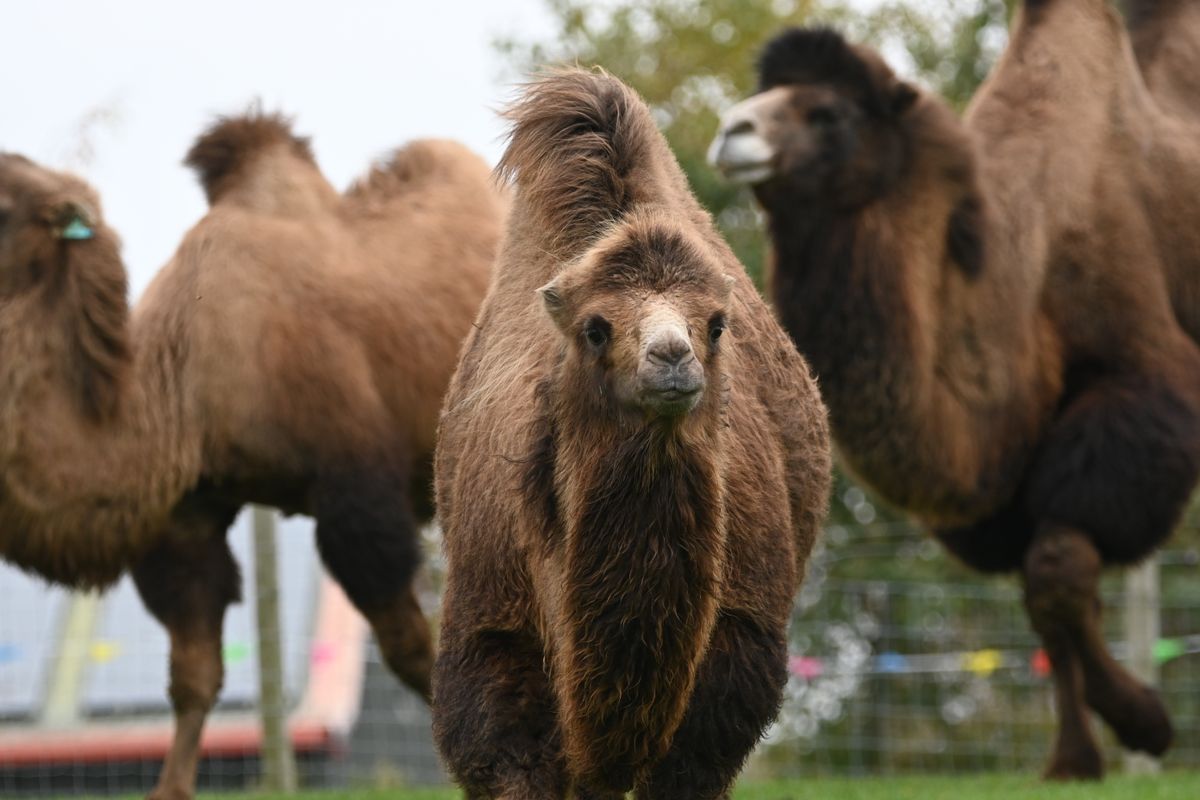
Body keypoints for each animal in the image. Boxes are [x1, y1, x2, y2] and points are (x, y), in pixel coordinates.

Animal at [0, 114, 506, 799]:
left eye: (2, 206)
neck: (177, 387)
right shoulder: (188, 515)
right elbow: (193, 676)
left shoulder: (354, 485)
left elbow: (411, 652)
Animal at [432, 69, 830, 799]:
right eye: (595, 328)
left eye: (717, 323)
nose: (672, 356)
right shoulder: (490, 625)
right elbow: (506, 754)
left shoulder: (740, 636)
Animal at [709, 0, 1200, 780]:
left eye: (829, 112)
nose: (734, 131)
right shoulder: (1009, 480)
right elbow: (1046, 600)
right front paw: (1074, 760)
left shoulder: (1146, 375)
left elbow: (1057, 569)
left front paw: (1146, 724)